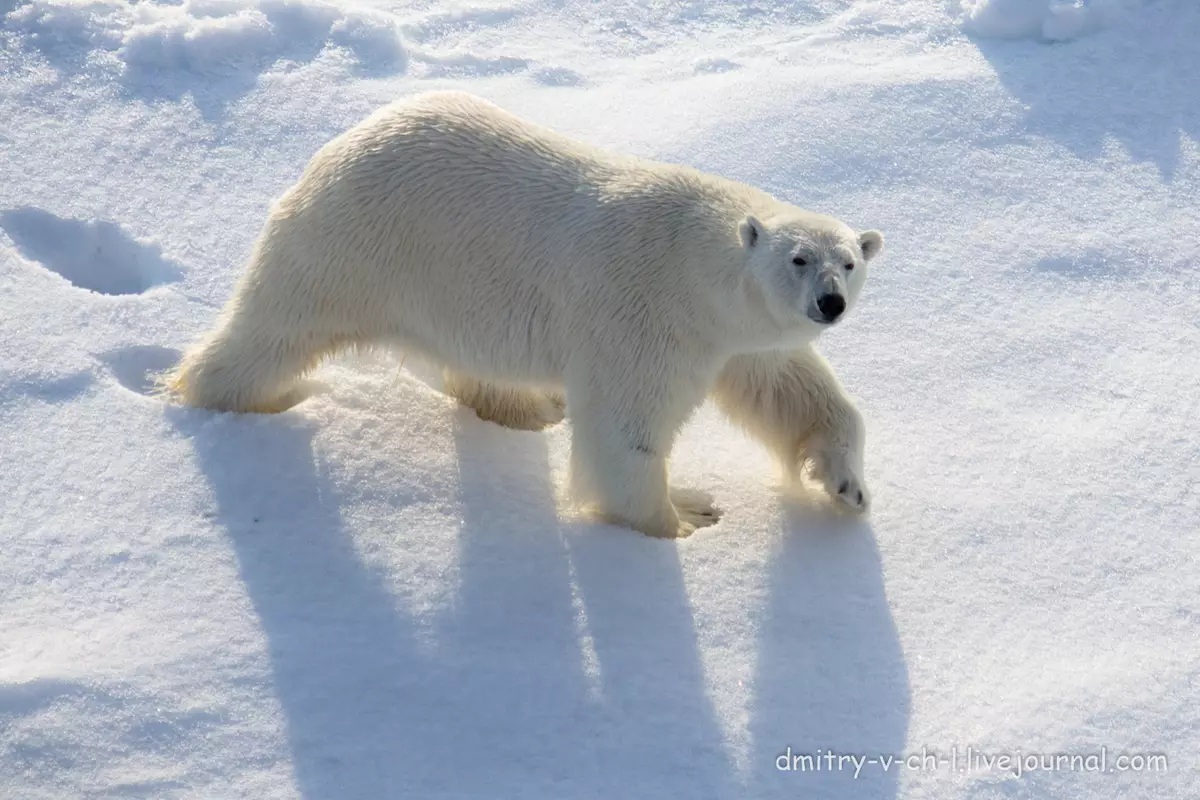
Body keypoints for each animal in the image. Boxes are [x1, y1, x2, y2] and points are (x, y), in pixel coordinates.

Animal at [166, 92, 883, 537]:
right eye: (798, 258)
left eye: (849, 261)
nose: (829, 302)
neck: (690, 259)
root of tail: (342, 141)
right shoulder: (643, 316)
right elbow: (625, 431)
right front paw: (677, 519)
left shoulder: (733, 337)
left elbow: (788, 387)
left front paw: (845, 483)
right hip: (353, 247)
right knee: (273, 330)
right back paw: (227, 396)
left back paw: (528, 409)